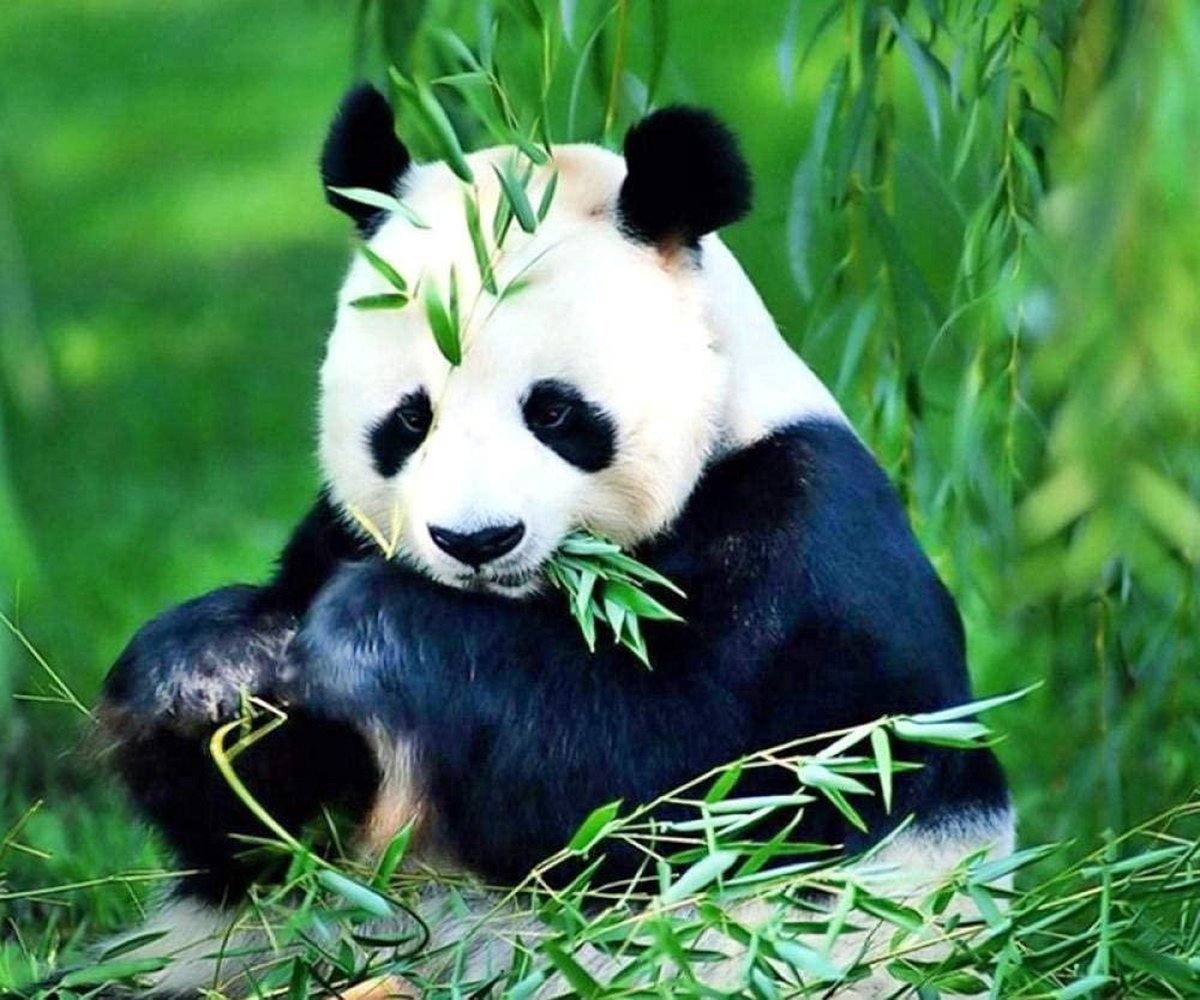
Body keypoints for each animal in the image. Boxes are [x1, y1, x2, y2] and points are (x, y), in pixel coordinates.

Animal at [88, 85, 1011, 996]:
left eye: (556, 412)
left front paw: (372, 629)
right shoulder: (337, 532)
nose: (476, 540)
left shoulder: (806, 546)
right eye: (411, 419)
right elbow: (266, 834)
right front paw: (214, 671)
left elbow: (668, 783)